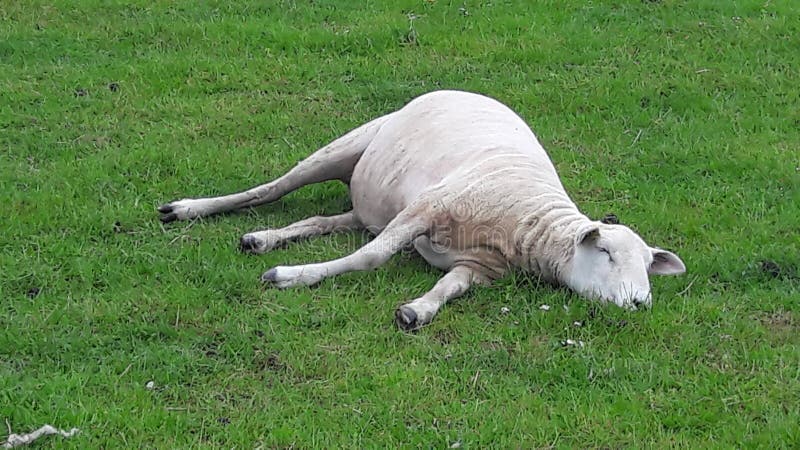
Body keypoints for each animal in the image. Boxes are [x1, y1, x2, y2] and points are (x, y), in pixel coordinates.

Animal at [158, 90, 686, 330]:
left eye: (648, 267)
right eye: (608, 254)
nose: (640, 304)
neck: (527, 221)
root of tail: (453, 90)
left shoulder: (480, 266)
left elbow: (450, 286)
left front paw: (418, 310)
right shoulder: (427, 209)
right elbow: (371, 256)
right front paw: (290, 277)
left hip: (373, 203)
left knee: (322, 220)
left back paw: (261, 238)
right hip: (347, 147)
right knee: (270, 190)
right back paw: (186, 209)